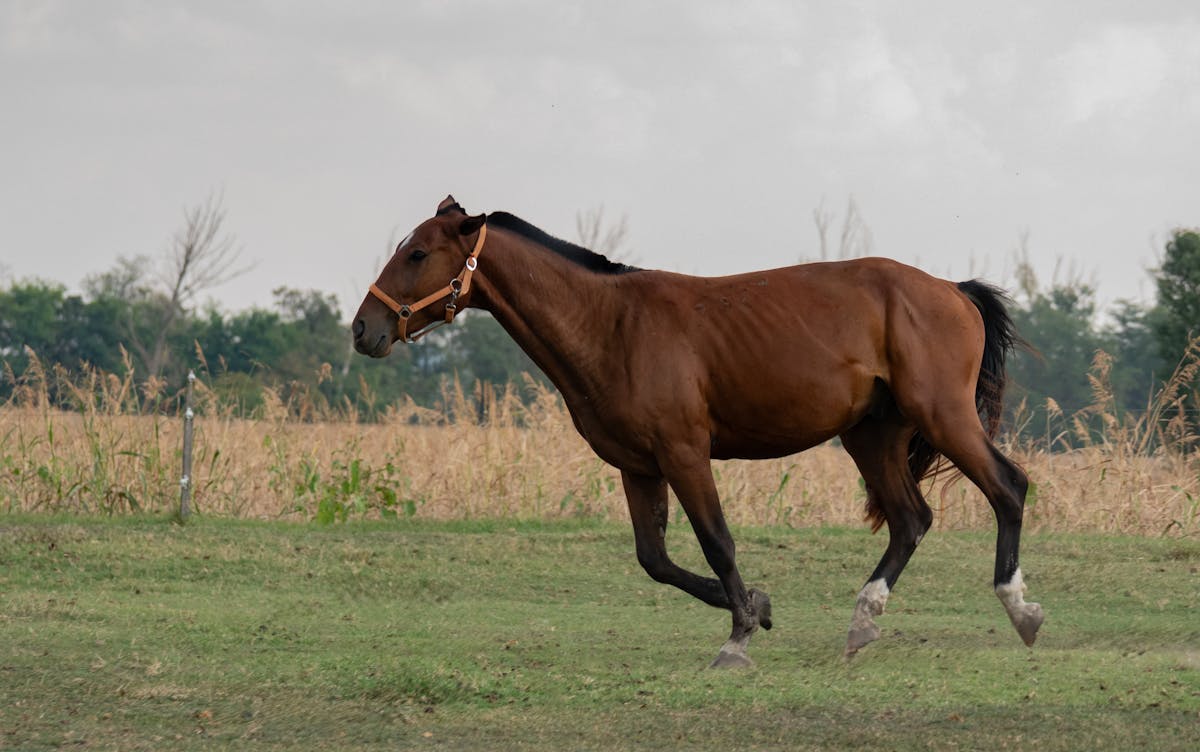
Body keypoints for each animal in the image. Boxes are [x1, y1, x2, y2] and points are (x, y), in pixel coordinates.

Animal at [352, 195, 1044, 668]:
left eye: (417, 253)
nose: (364, 329)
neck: (612, 325)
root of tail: (952, 290)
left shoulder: (686, 455)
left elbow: (717, 542)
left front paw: (738, 638)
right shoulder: (638, 467)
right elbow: (655, 560)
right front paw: (758, 605)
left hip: (942, 417)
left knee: (1008, 488)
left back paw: (1020, 609)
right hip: (872, 436)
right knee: (910, 519)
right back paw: (863, 620)